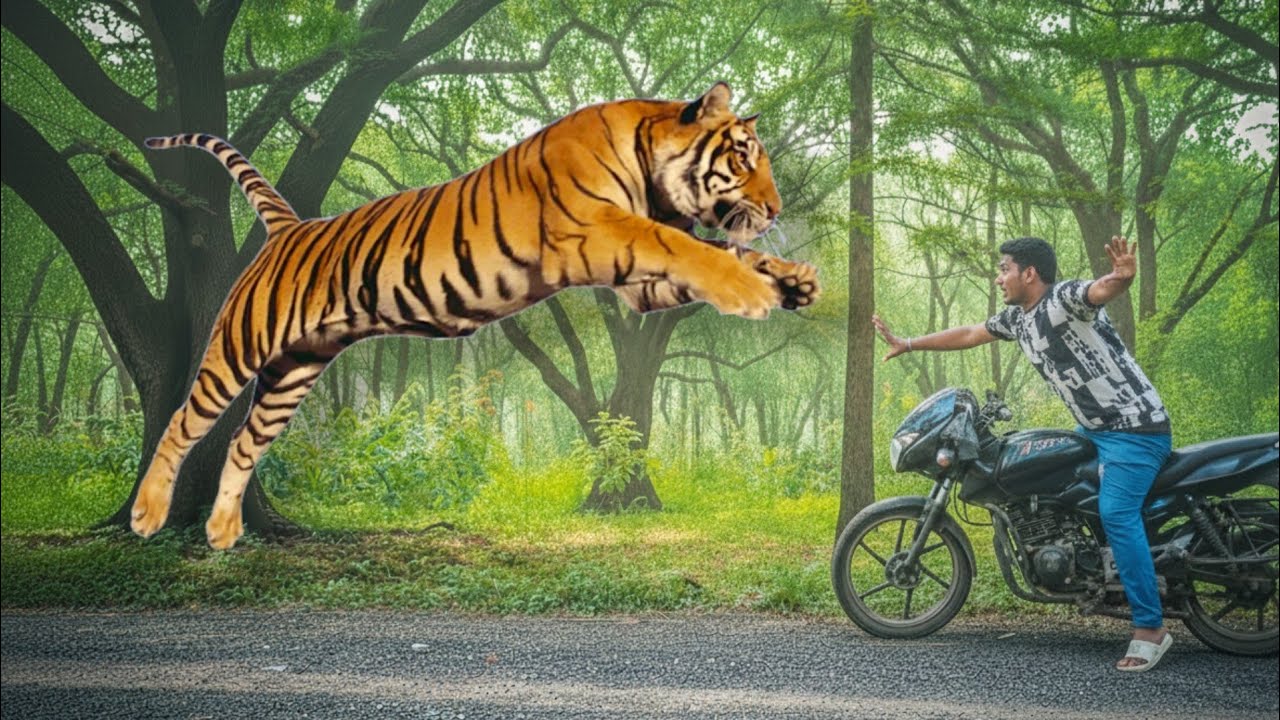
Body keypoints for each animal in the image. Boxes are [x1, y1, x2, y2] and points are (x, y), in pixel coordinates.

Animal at [131, 82, 820, 549]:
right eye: (742, 157)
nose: (776, 209)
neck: (652, 170)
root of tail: (289, 227)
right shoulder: (602, 231)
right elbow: (688, 245)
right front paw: (750, 288)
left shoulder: (638, 285)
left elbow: (716, 248)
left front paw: (792, 279)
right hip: (240, 343)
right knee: (183, 422)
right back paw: (147, 513)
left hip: (295, 369)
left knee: (243, 440)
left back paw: (223, 530)